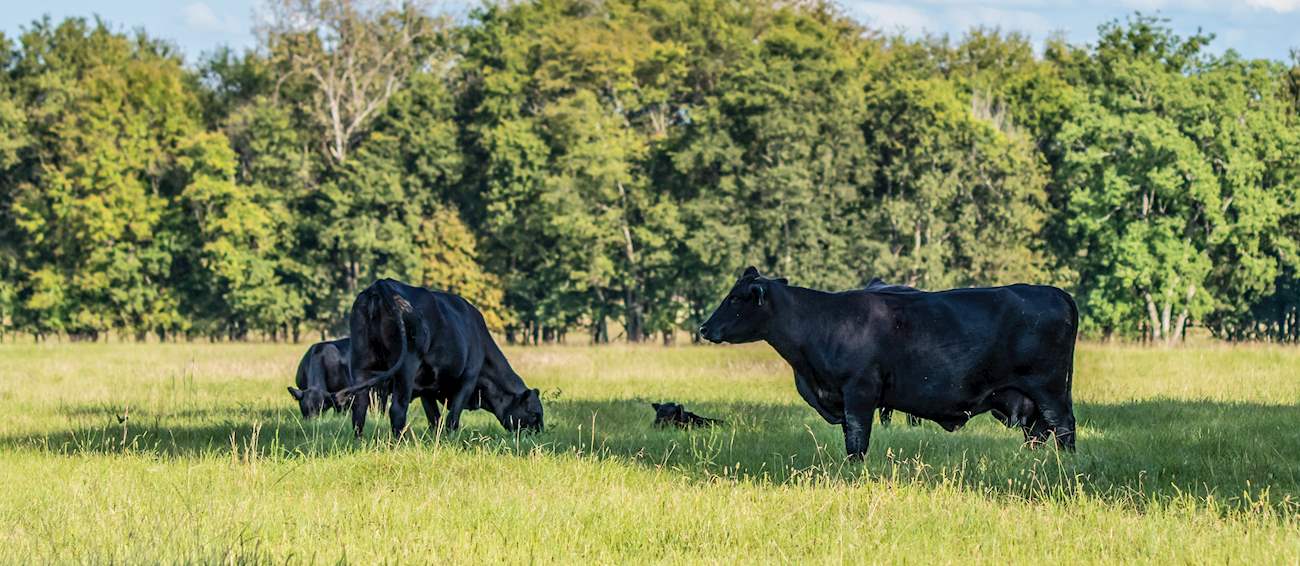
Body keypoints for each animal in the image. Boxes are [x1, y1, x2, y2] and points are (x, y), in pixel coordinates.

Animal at [334, 279, 543, 438]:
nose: (539, 433)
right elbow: (452, 418)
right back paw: (397, 443)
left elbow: (434, 419)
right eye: (535, 413)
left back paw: (359, 441)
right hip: (406, 367)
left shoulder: (427, 389)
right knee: (398, 409)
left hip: (360, 363)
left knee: (359, 408)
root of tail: (382, 284)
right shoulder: (468, 379)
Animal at [698, 266, 1077, 460]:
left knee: (1063, 426)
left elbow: (857, 438)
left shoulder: (859, 392)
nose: (703, 328)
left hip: (1049, 388)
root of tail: (1053, 291)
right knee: (1039, 432)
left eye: (736, 298)